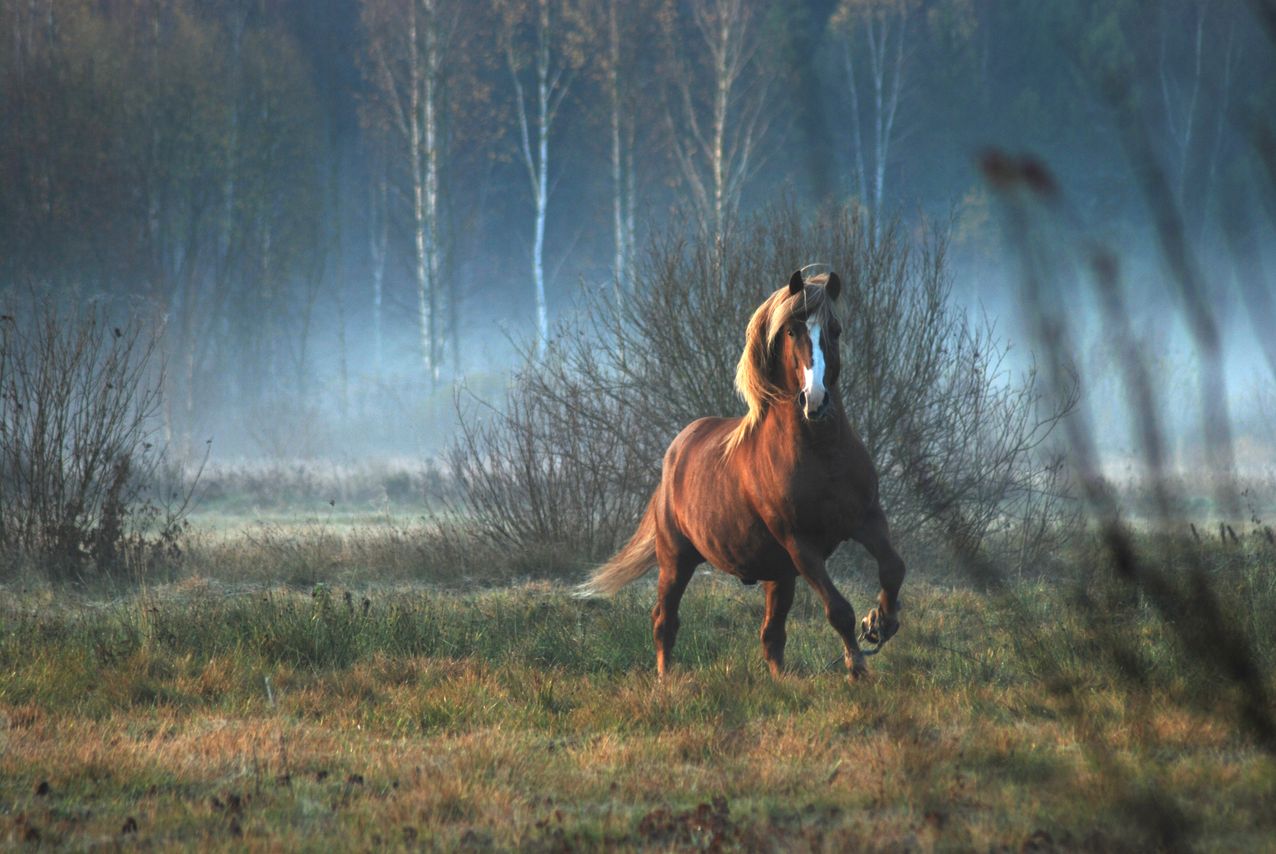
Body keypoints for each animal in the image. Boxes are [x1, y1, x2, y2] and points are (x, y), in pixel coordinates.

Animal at [576, 269, 905, 680]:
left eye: (836, 329)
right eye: (792, 331)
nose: (815, 401)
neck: (822, 454)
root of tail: (675, 453)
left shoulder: (867, 518)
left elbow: (893, 568)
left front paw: (880, 623)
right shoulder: (801, 544)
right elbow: (838, 610)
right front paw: (857, 665)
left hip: (778, 574)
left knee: (771, 635)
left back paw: (782, 682)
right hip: (676, 558)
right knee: (664, 621)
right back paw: (666, 680)